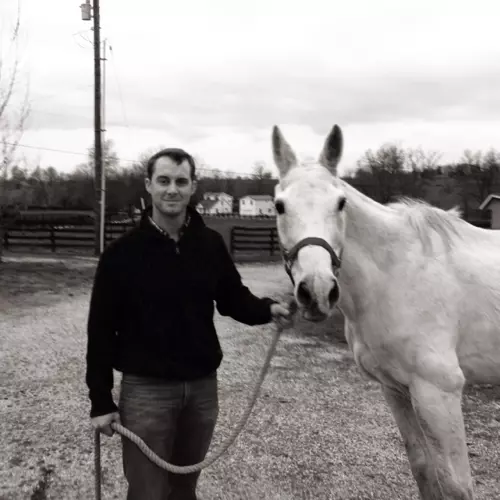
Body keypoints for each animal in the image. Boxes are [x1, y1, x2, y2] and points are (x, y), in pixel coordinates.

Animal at [272, 123, 500, 498]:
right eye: (279, 206)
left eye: (340, 203)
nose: (317, 292)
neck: (396, 276)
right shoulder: (395, 389)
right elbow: (423, 468)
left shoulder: (439, 392)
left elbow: (457, 486)